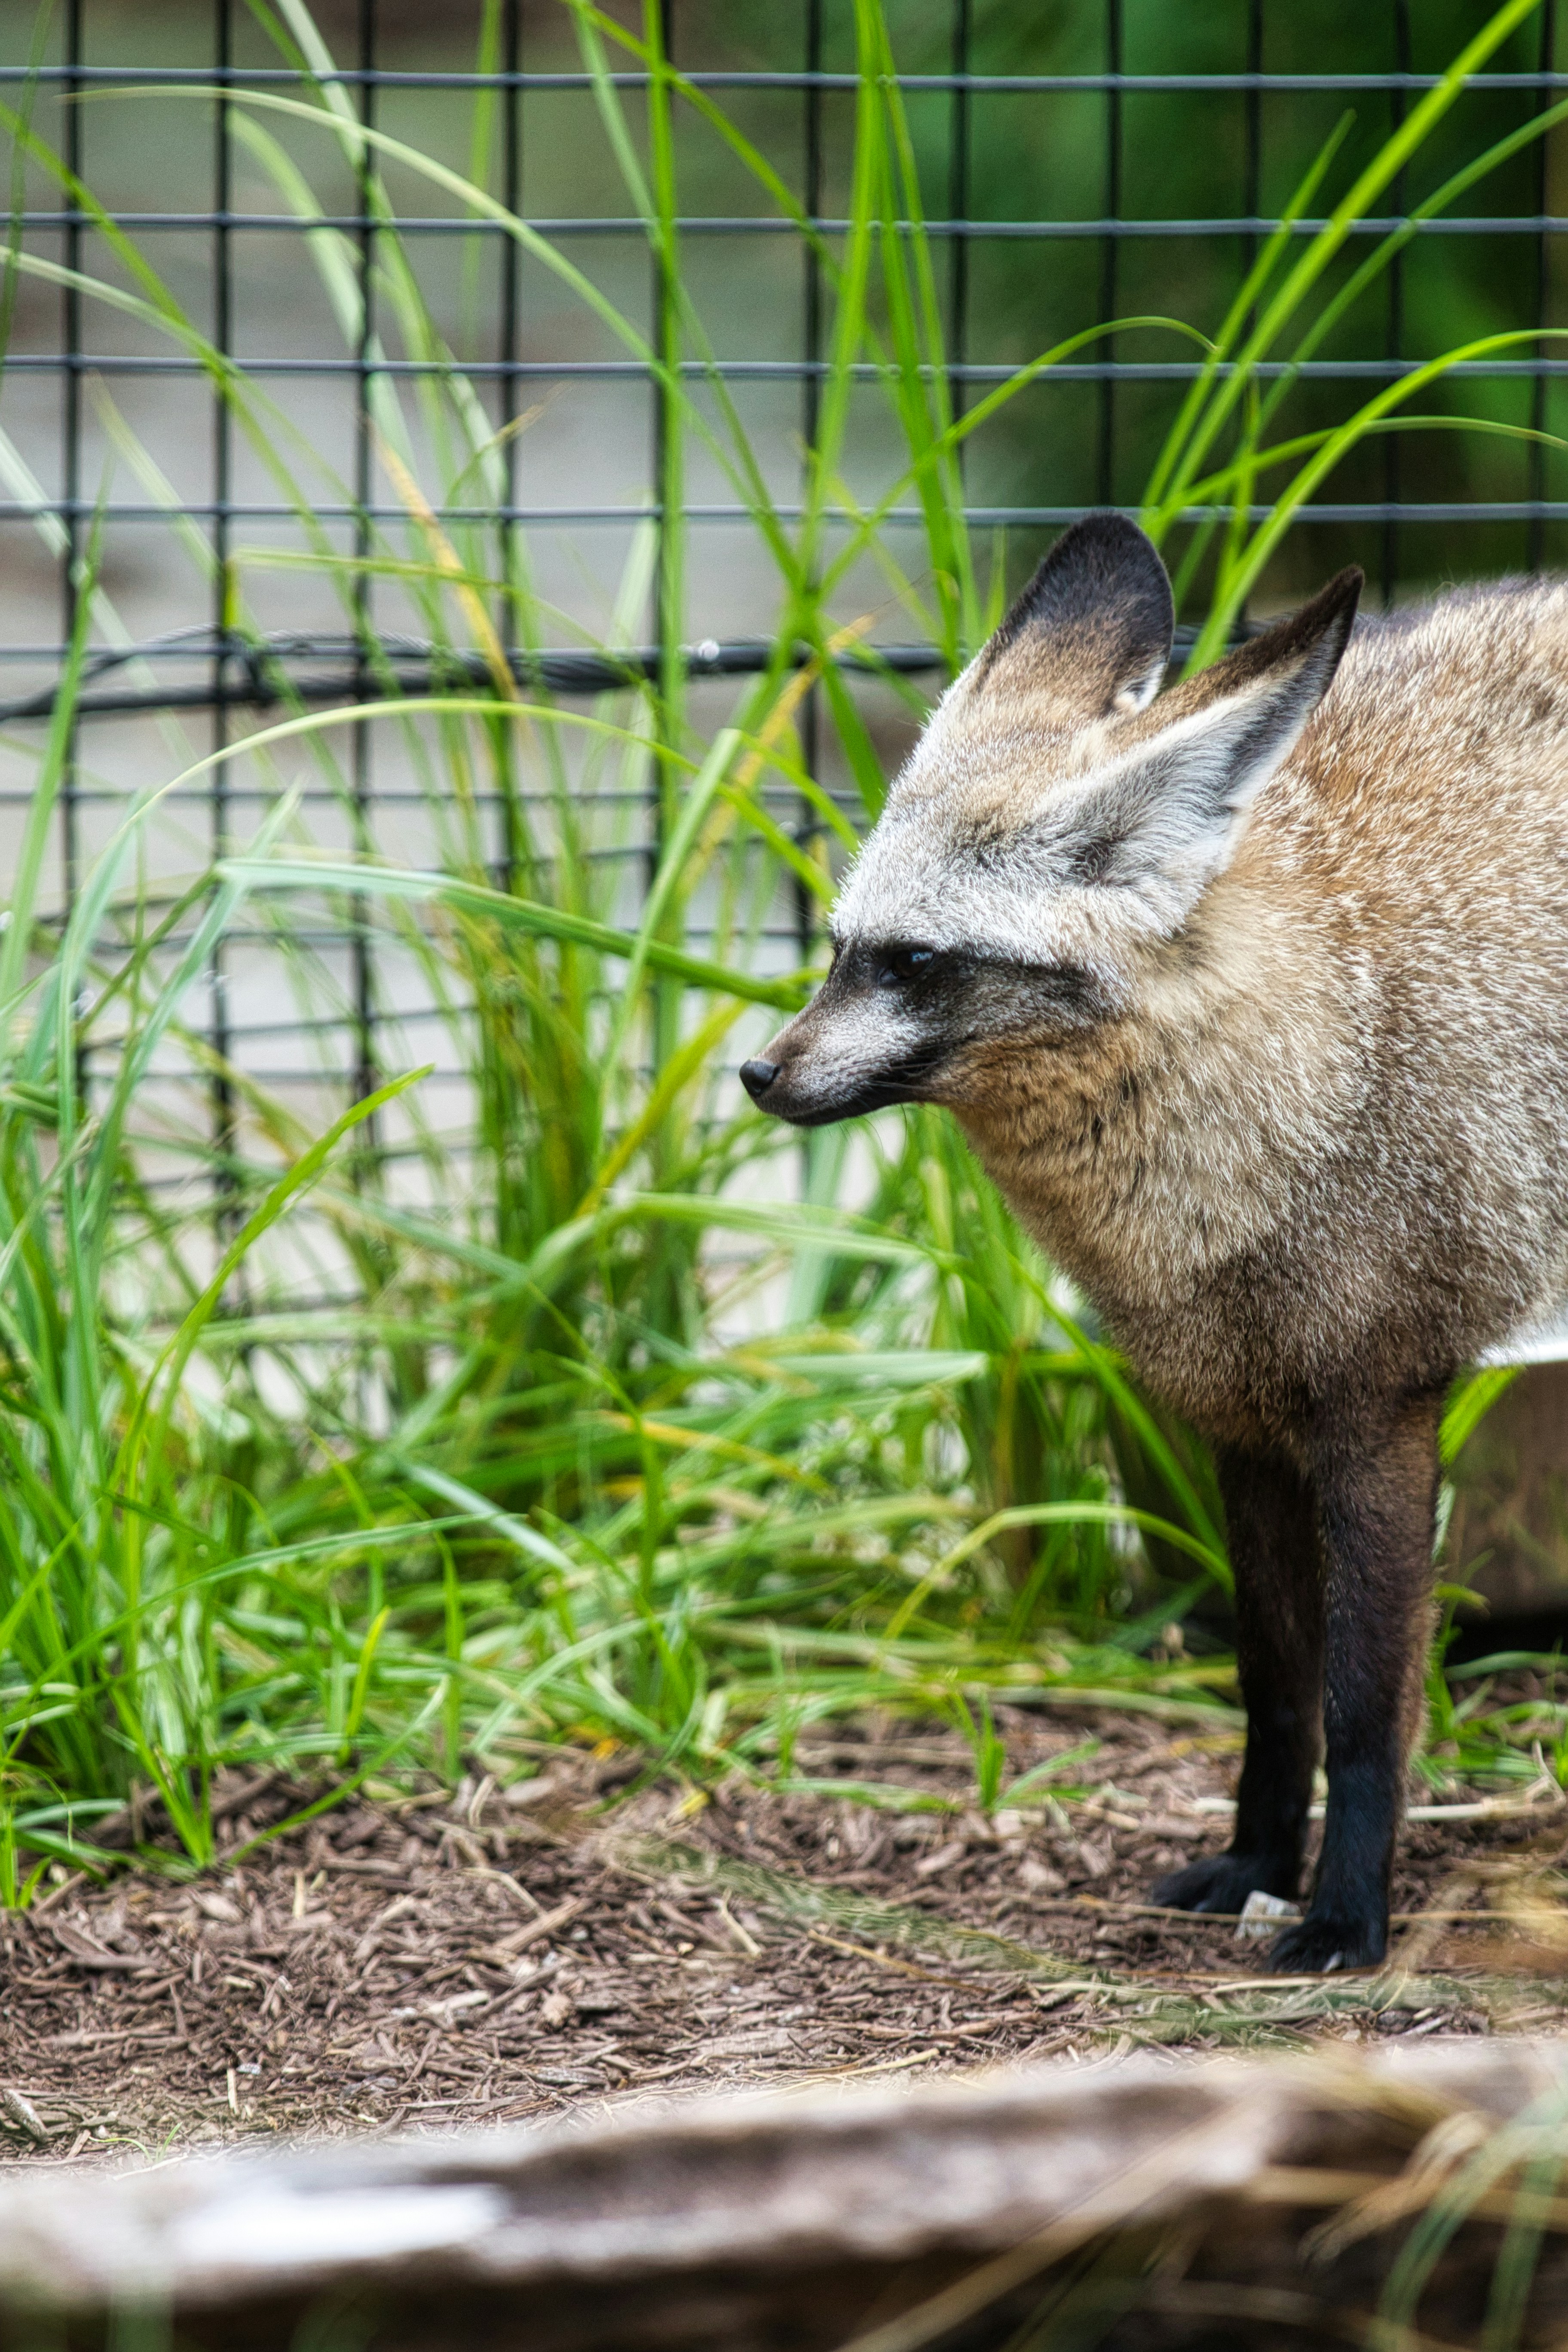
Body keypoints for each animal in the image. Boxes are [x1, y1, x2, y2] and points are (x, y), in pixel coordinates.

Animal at [739, 511, 1568, 1974]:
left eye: (912, 964)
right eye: (837, 950)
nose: (756, 1076)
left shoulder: (1378, 1409)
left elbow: (1363, 1713)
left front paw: (1346, 1916)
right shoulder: (1237, 1422)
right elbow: (1272, 1689)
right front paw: (1255, 1863)